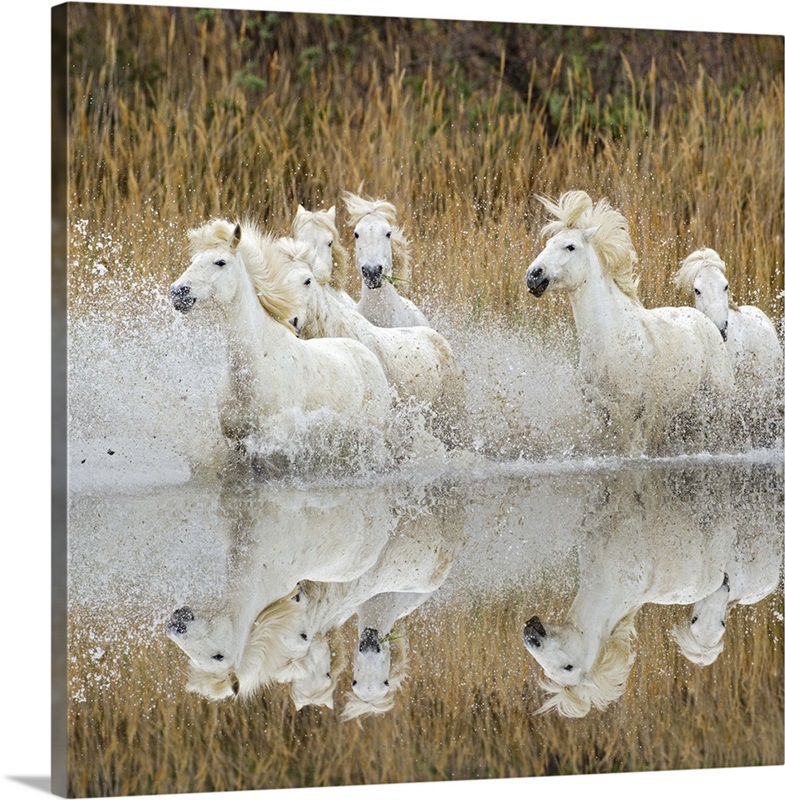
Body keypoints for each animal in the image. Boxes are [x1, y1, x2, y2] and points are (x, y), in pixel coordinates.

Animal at [169, 218, 392, 473]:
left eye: (220, 262)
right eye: (193, 261)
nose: (177, 292)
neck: (256, 367)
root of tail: (366, 353)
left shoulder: (276, 449)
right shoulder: (237, 447)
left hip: (373, 438)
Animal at [525, 191, 736, 454]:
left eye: (570, 246)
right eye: (547, 245)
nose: (533, 275)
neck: (609, 336)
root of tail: (710, 323)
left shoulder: (631, 411)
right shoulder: (599, 411)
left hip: (717, 404)